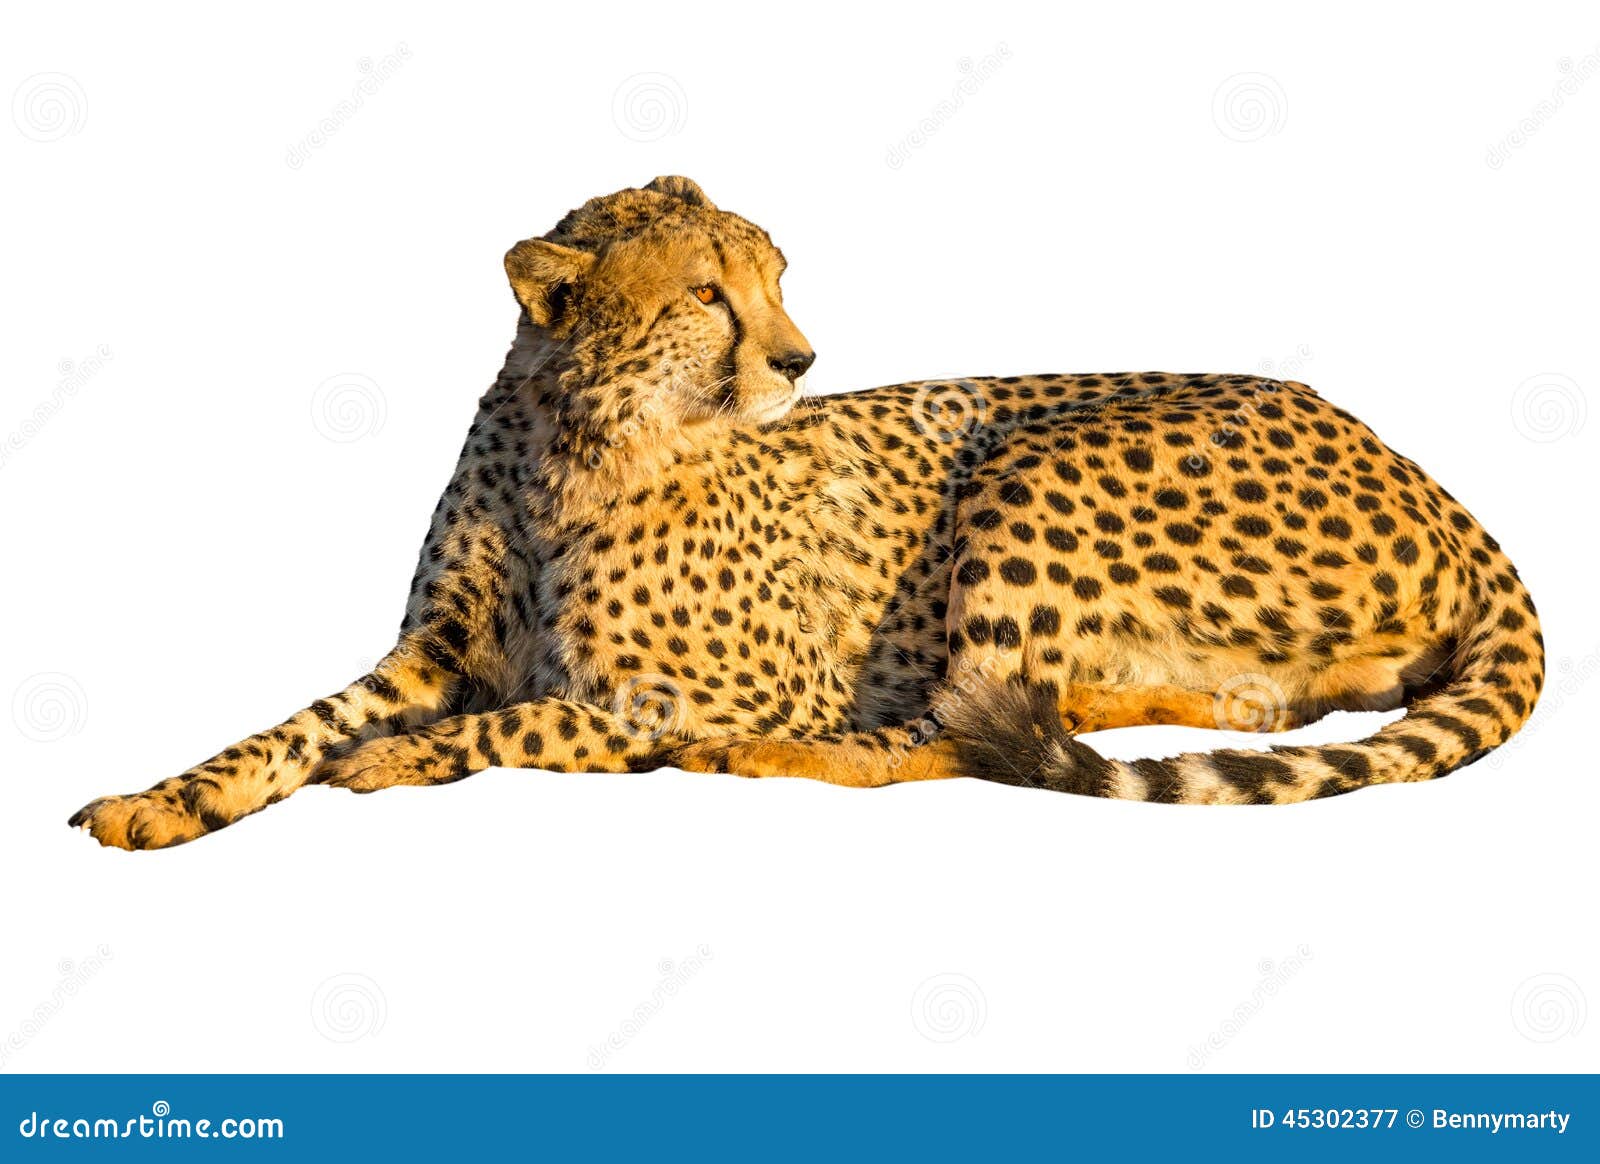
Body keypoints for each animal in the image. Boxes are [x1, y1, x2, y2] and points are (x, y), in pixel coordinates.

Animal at [69, 175, 1545, 849]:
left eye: (773, 278)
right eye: (704, 292)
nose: (799, 358)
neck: (575, 439)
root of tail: (1416, 465)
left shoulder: (747, 678)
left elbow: (552, 716)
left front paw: (404, 761)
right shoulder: (432, 647)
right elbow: (291, 723)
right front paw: (163, 799)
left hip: (1028, 459)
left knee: (962, 733)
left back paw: (772, 761)